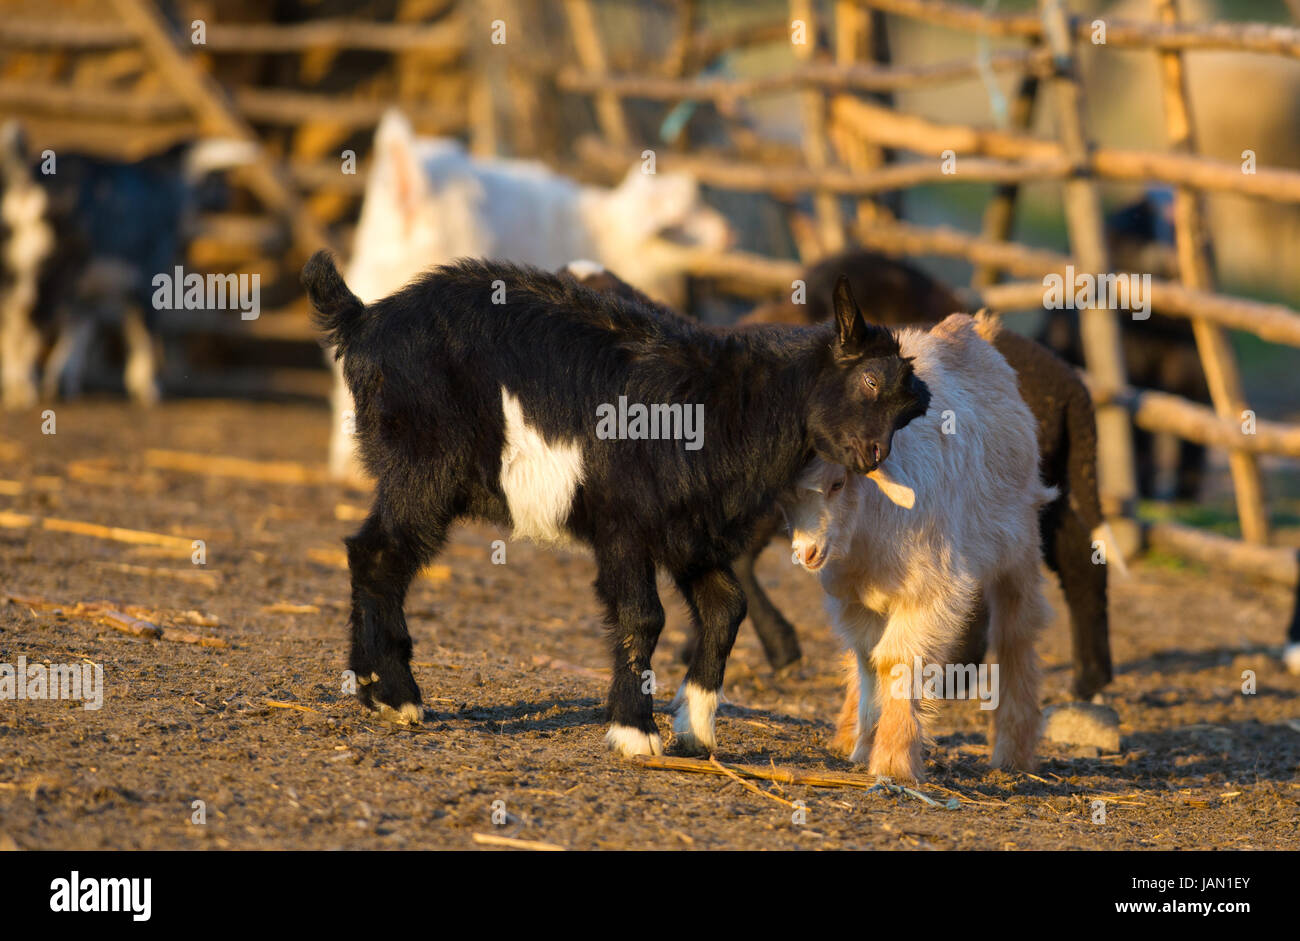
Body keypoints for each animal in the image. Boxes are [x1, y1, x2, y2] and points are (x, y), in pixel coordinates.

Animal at [304, 252, 930, 757]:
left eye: (907, 412)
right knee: (382, 556)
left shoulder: (689, 532)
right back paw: (399, 696)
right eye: (869, 381)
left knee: (366, 551)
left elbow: (725, 607)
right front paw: (634, 732)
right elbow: (643, 616)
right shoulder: (625, 522)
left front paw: (695, 730)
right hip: (425, 467)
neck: (724, 404)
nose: (873, 455)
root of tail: (363, 319)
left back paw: (368, 687)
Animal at [781, 313, 1054, 782]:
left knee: (1015, 630)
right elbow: (867, 658)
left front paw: (894, 760)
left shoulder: (932, 591)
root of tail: (970, 328)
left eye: (838, 483)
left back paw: (1013, 753)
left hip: (1018, 542)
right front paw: (864, 746)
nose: (807, 554)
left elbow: (896, 660)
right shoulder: (853, 599)